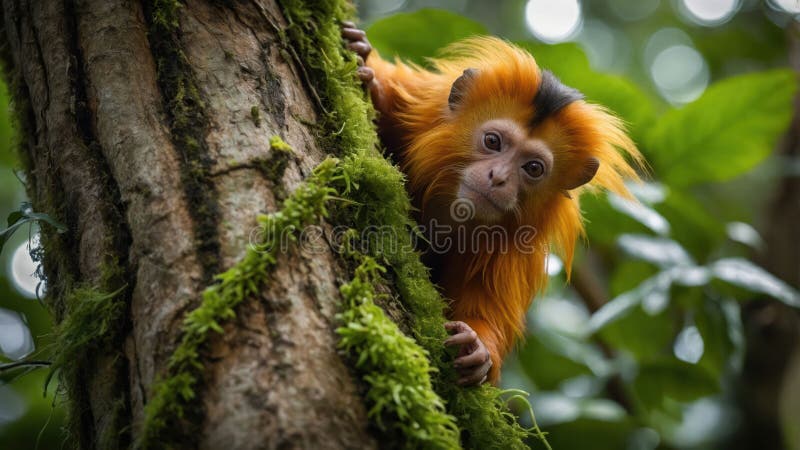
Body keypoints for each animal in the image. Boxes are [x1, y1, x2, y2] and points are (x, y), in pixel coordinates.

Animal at [341, 24, 644, 386]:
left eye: (533, 168)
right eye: (492, 141)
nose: (498, 177)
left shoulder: (511, 251)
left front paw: (478, 348)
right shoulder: (416, 110)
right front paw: (365, 65)